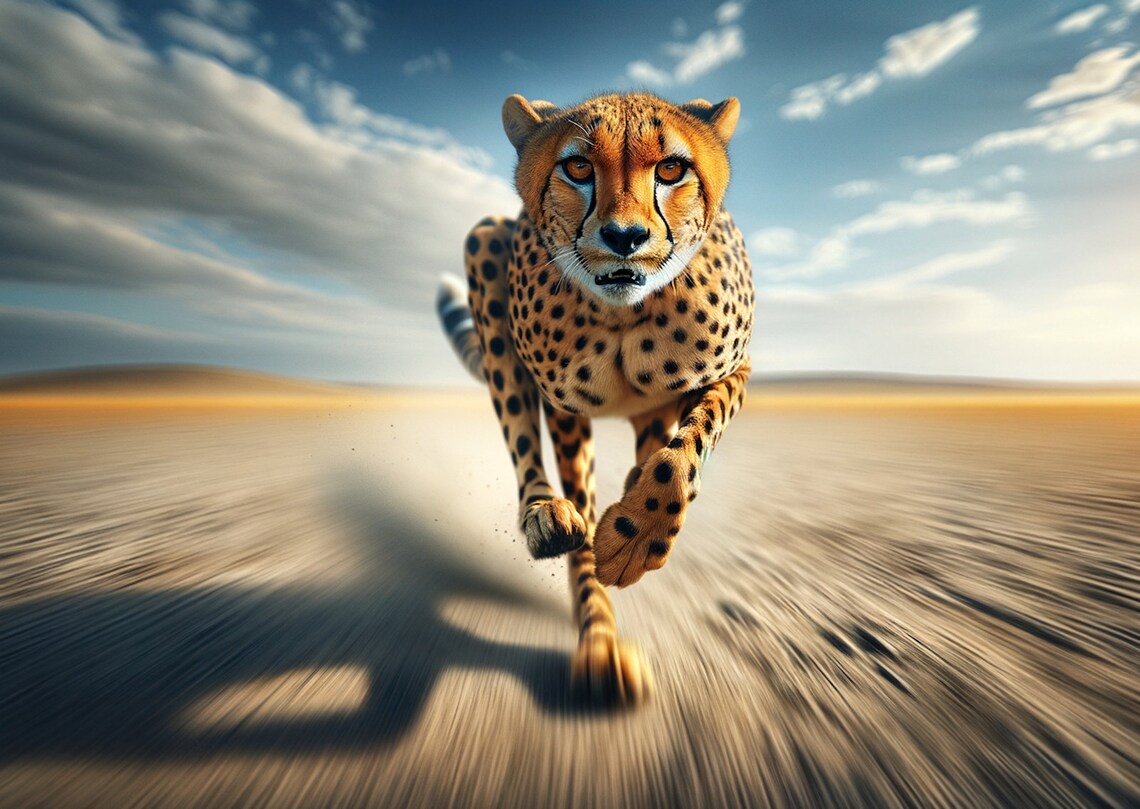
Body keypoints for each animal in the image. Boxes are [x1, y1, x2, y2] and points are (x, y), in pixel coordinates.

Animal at [436, 92, 754, 705]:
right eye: (578, 167)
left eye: (671, 169)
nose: (624, 237)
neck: (625, 312)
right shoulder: (565, 409)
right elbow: (582, 514)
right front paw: (601, 638)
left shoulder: (735, 368)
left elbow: (683, 454)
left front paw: (635, 537)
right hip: (484, 244)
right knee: (527, 450)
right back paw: (546, 514)